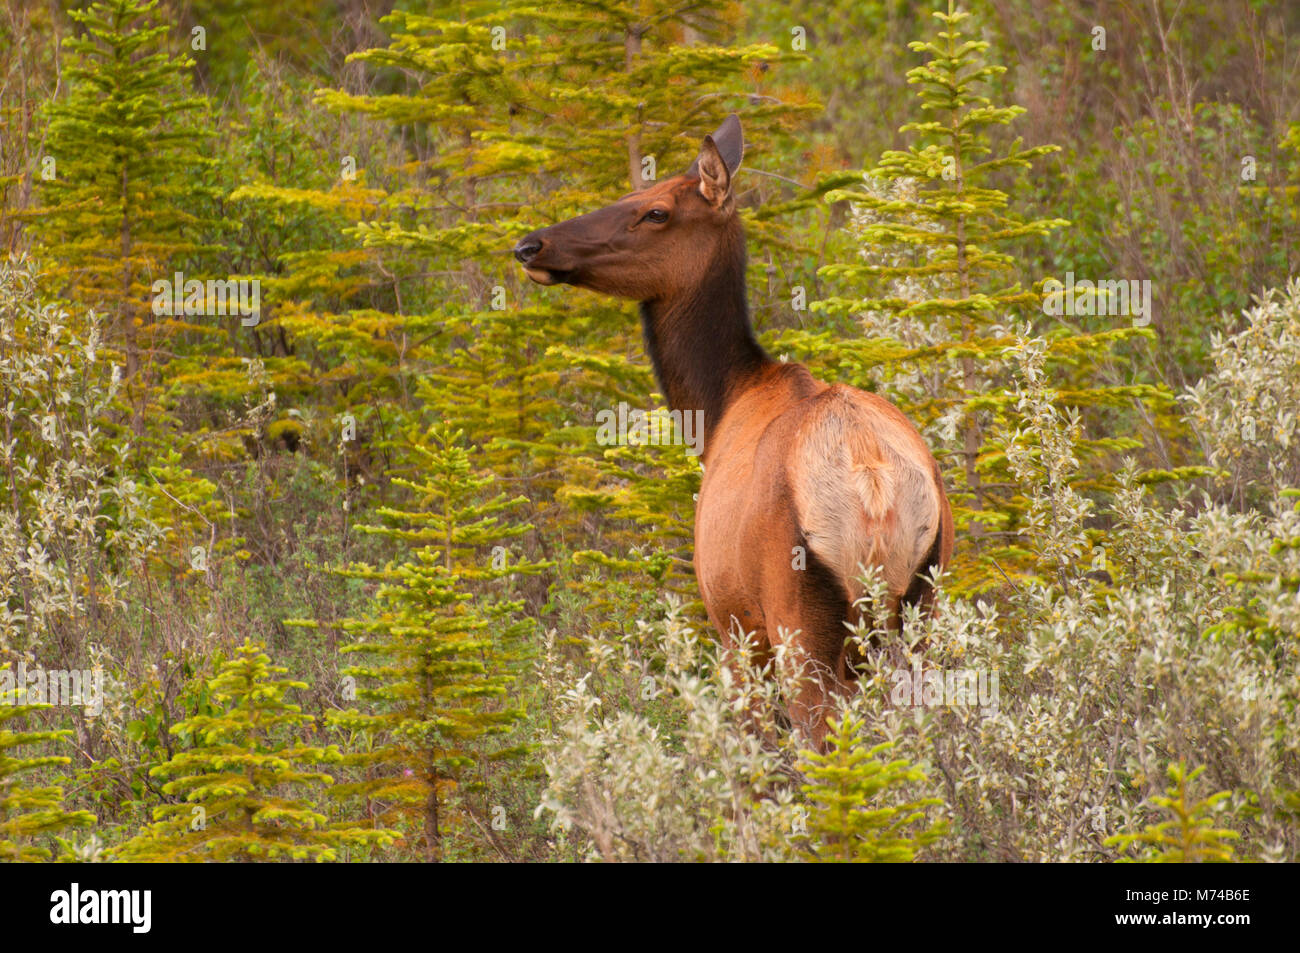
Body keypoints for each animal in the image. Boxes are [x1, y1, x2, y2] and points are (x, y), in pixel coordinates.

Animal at [513, 115, 953, 749]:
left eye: (655, 211)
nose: (531, 244)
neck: (716, 410)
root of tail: (874, 489)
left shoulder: (731, 626)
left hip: (800, 628)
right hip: (923, 611)